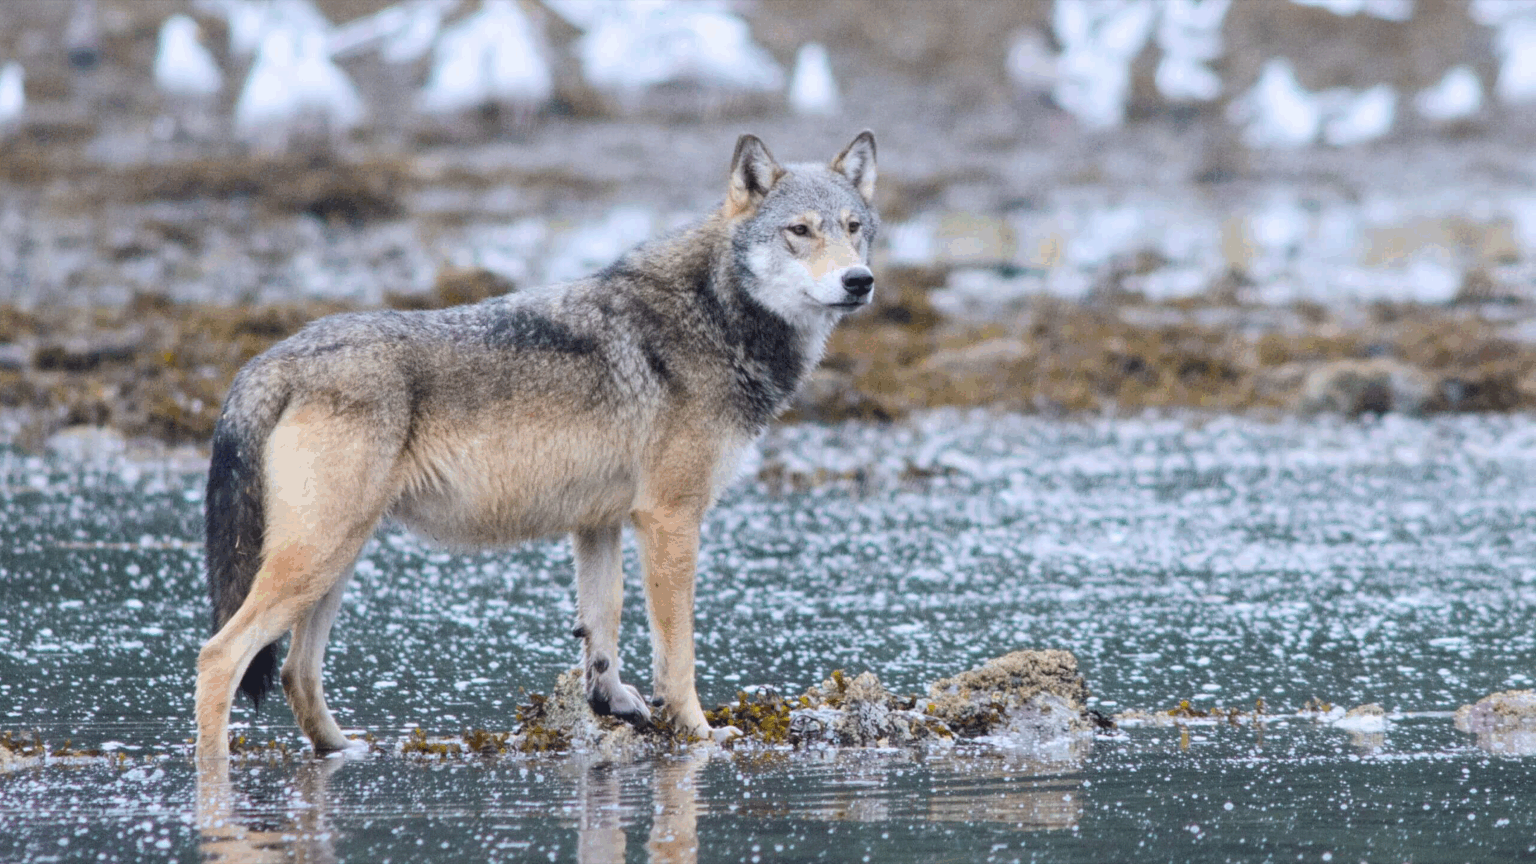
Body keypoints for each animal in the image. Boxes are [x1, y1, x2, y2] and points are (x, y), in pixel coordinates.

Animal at [193, 131, 879, 759]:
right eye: (799, 230)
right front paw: (699, 732)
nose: (860, 281)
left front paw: (611, 702)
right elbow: (677, 650)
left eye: (854, 228)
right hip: (316, 559)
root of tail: (270, 360)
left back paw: (347, 751)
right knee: (218, 656)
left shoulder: (599, 522)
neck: (715, 313)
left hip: (335, 562)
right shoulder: (670, 519)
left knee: (295, 672)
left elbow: (603, 626)